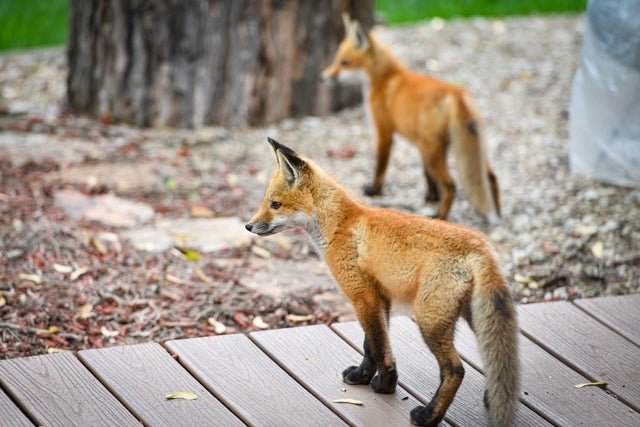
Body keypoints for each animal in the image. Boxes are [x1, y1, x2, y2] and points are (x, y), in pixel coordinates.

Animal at [245, 137, 520, 426]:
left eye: (275, 204)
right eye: (266, 202)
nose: (248, 226)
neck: (340, 225)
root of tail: (482, 246)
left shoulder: (362, 296)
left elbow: (379, 348)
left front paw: (386, 384)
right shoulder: (380, 297)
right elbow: (371, 345)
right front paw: (363, 376)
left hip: (429, 321)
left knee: (455, 370)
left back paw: (428, 416)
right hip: (475, 317)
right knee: (496, 360)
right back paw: (494, 397)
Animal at [321, 14, 500, 223]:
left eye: (344, 63)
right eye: (336, 60)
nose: (323, 77)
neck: (385, 79)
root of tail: (456, 91)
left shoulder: (384, 132)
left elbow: (380, 167)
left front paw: (374, 190)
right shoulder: (418, 143)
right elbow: (427, 176)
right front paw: (431, 197)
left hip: (431, 149)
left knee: (450, 184)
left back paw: (439, 217)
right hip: (454, 148)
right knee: (491, 177)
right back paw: (497, 213)